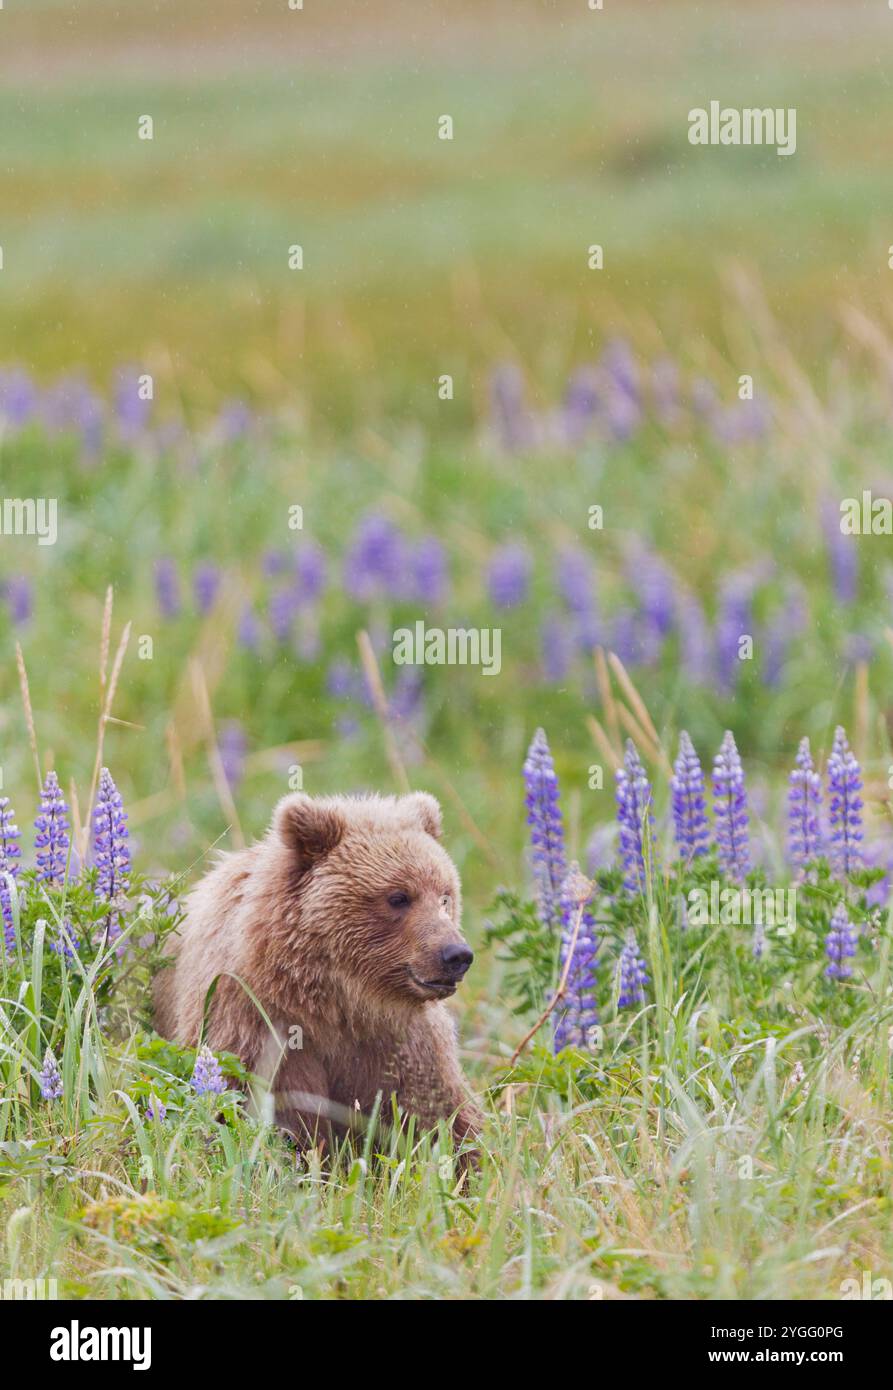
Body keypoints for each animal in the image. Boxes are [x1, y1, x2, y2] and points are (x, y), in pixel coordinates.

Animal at [153, 791, 482, 1154]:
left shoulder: (404, 1045)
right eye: (398, 897)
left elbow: (443, 1116)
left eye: (445, 896)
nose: (456, 954)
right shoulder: (256, 1025)